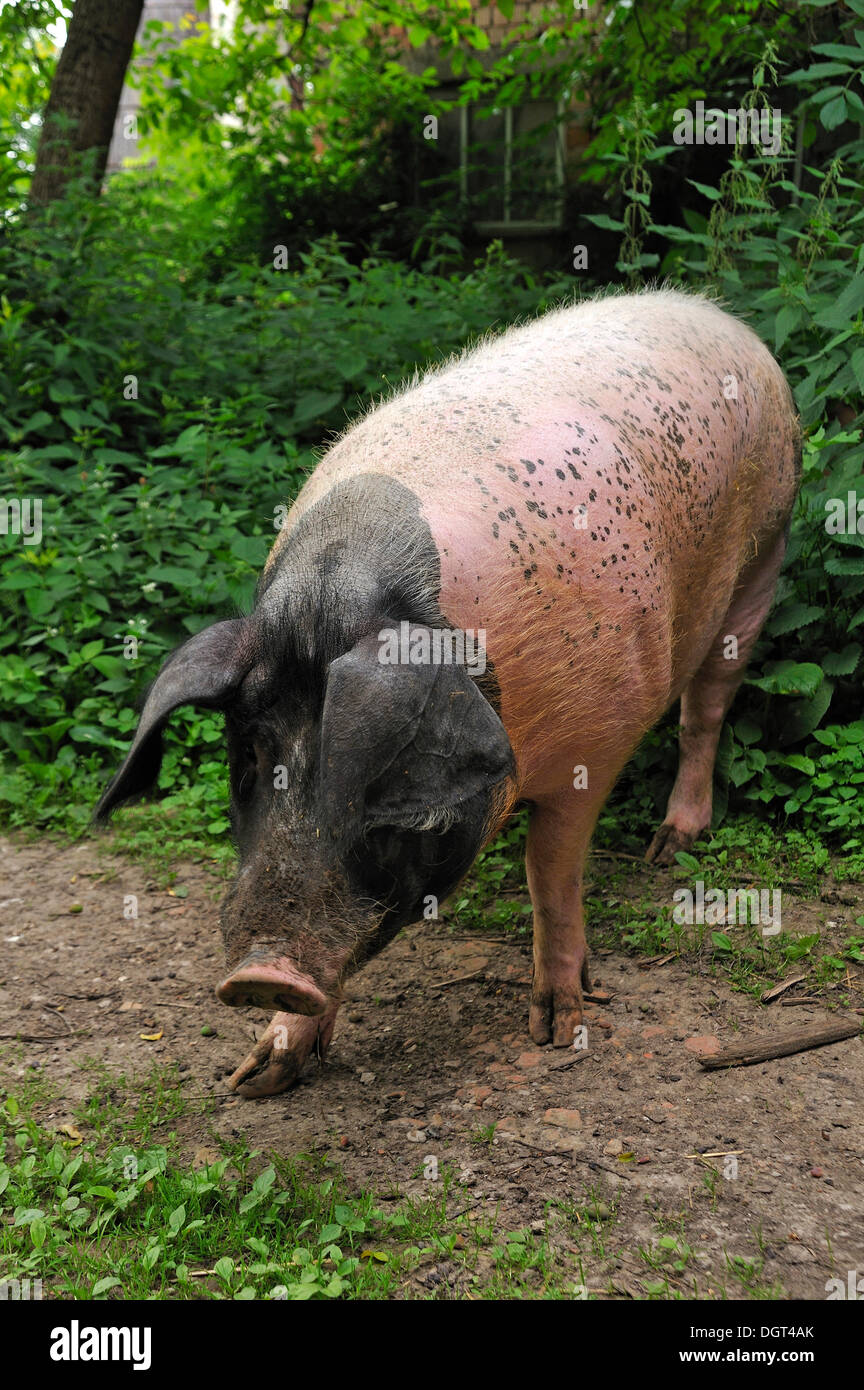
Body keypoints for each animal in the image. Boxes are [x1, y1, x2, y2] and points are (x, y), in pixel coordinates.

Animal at [96, 289, 801, 1097]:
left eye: (379, 785)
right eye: (247, 761)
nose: (260, 975)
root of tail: (720, 317)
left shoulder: (595, 741)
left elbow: (550, 874)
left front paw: (558, 1029)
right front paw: (254, 1079)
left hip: (767, 548)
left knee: (705, 708)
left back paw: (668, 846)